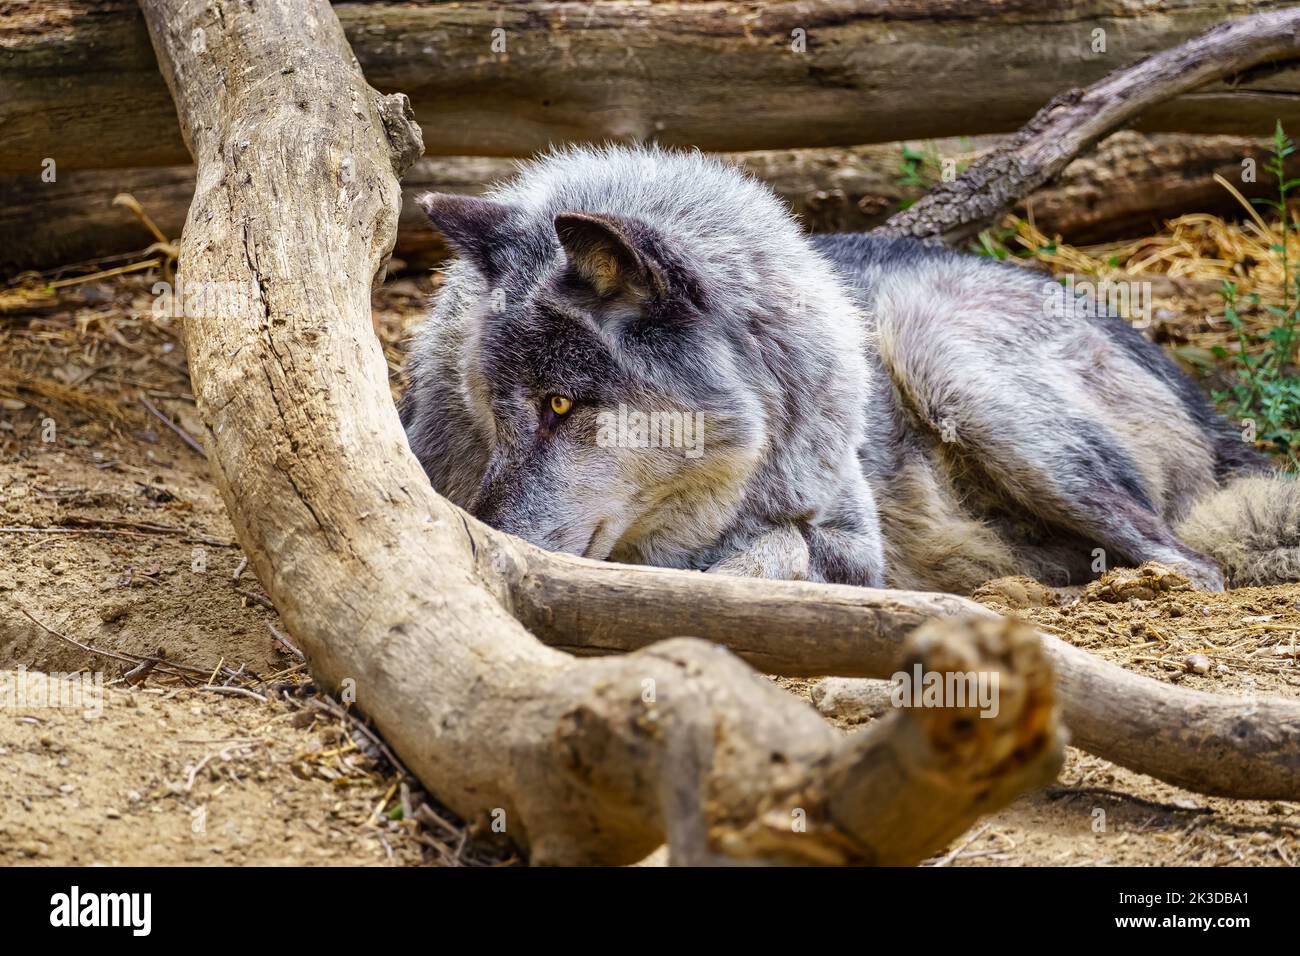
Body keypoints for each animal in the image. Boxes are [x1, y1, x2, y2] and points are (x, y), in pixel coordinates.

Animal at [400, 145, 1300, 594]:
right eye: (493, 413)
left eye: (560, 405)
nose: (480, 538)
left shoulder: (851, 544)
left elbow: (773, 552)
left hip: (953, 365)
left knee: (1197, 564)